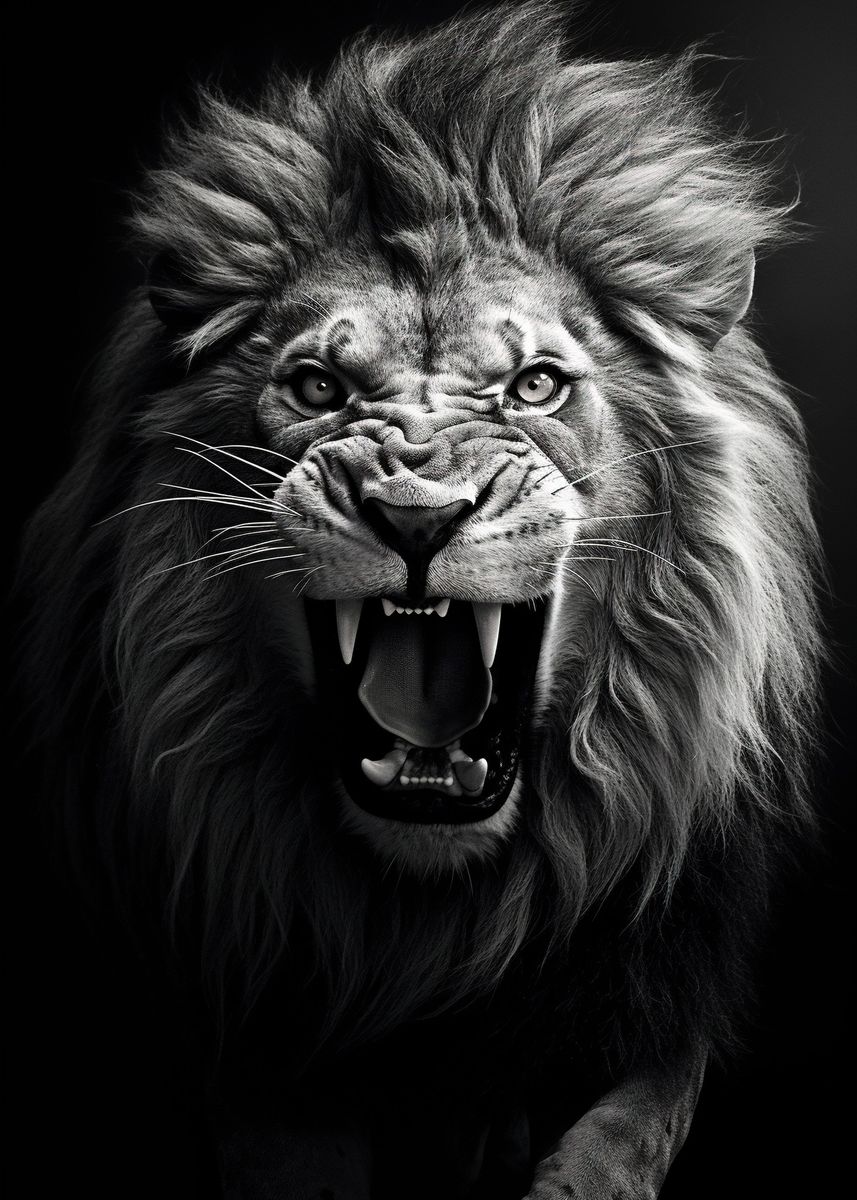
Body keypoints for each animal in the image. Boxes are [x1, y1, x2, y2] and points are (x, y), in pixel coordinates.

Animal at [17, 3, 822, 1197]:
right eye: (317, 386)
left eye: (535, 384)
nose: (414, 513)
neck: (429, 916)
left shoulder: (663, 1005)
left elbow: (617, 1140)